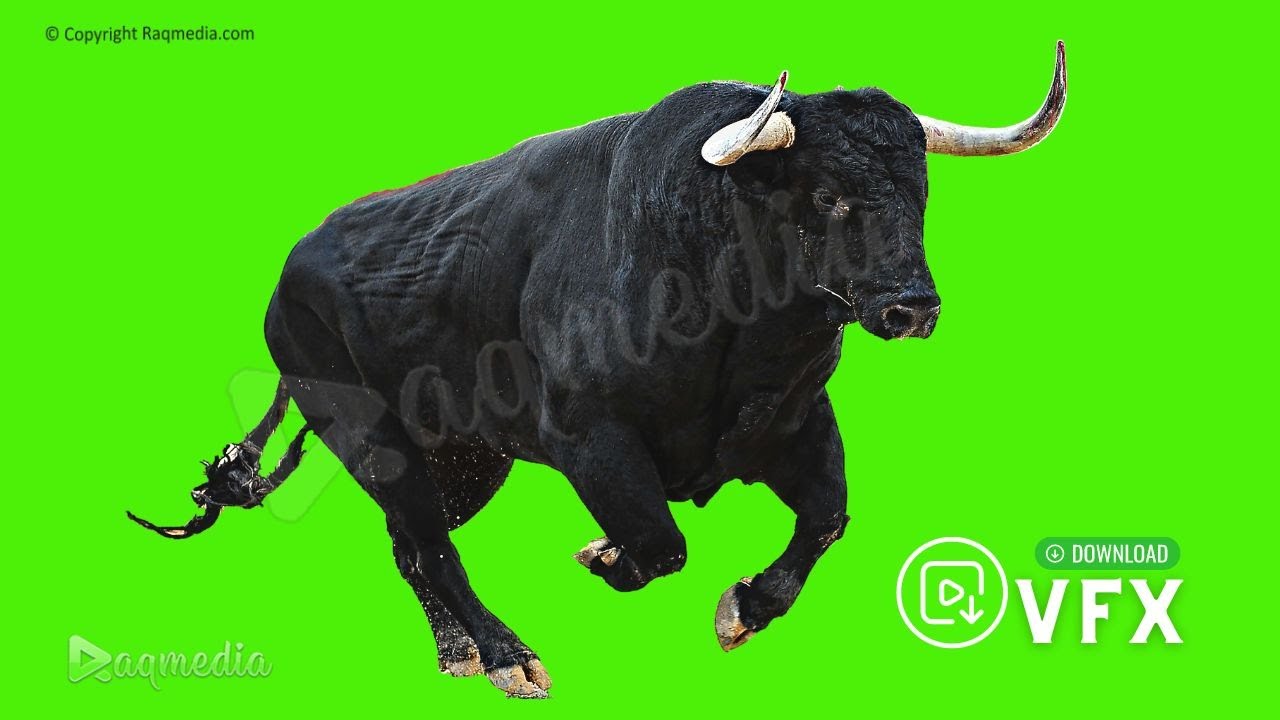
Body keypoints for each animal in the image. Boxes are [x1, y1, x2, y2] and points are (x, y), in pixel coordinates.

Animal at [130, 43, 1067, 698]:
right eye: (829, 194)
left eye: (920, 192)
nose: (914, 307)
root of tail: (293, 267)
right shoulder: (590, 437)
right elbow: (659, 541)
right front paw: (607, 556)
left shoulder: (794, 423)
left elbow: (827, 519)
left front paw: (744, 608)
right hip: (367, 433)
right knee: (431, 545)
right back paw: (508, 658)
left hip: (464, 455)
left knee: (410, 545)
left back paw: (458, 655)